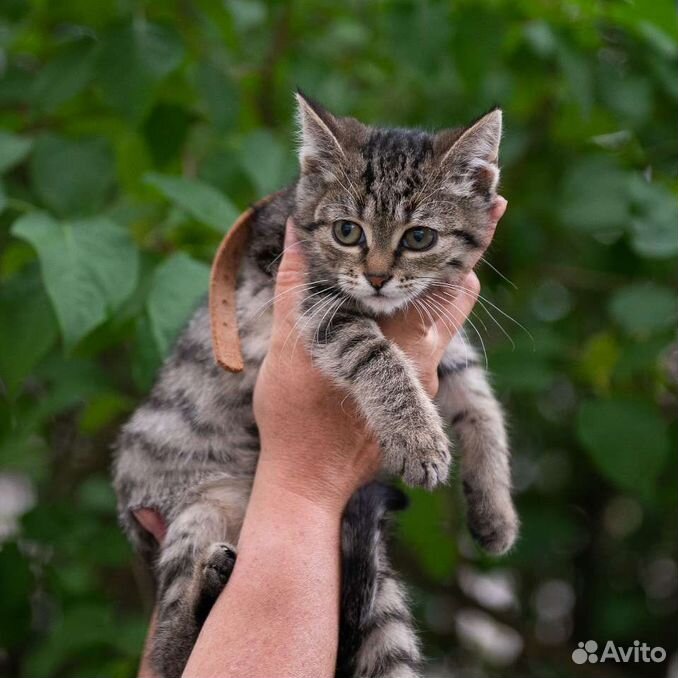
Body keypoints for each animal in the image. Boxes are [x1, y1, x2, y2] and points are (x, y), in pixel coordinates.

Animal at [115, 91, 520, 678]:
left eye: (419, 237)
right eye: (347, 231)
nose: (377, 277)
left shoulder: (446, 347)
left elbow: (482, 405)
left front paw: (496, 511)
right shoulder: (312, 298)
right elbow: (376, 354)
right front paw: (419, 441)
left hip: (378, 596)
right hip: (199, 507)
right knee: (171, 650)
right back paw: (200, 593)